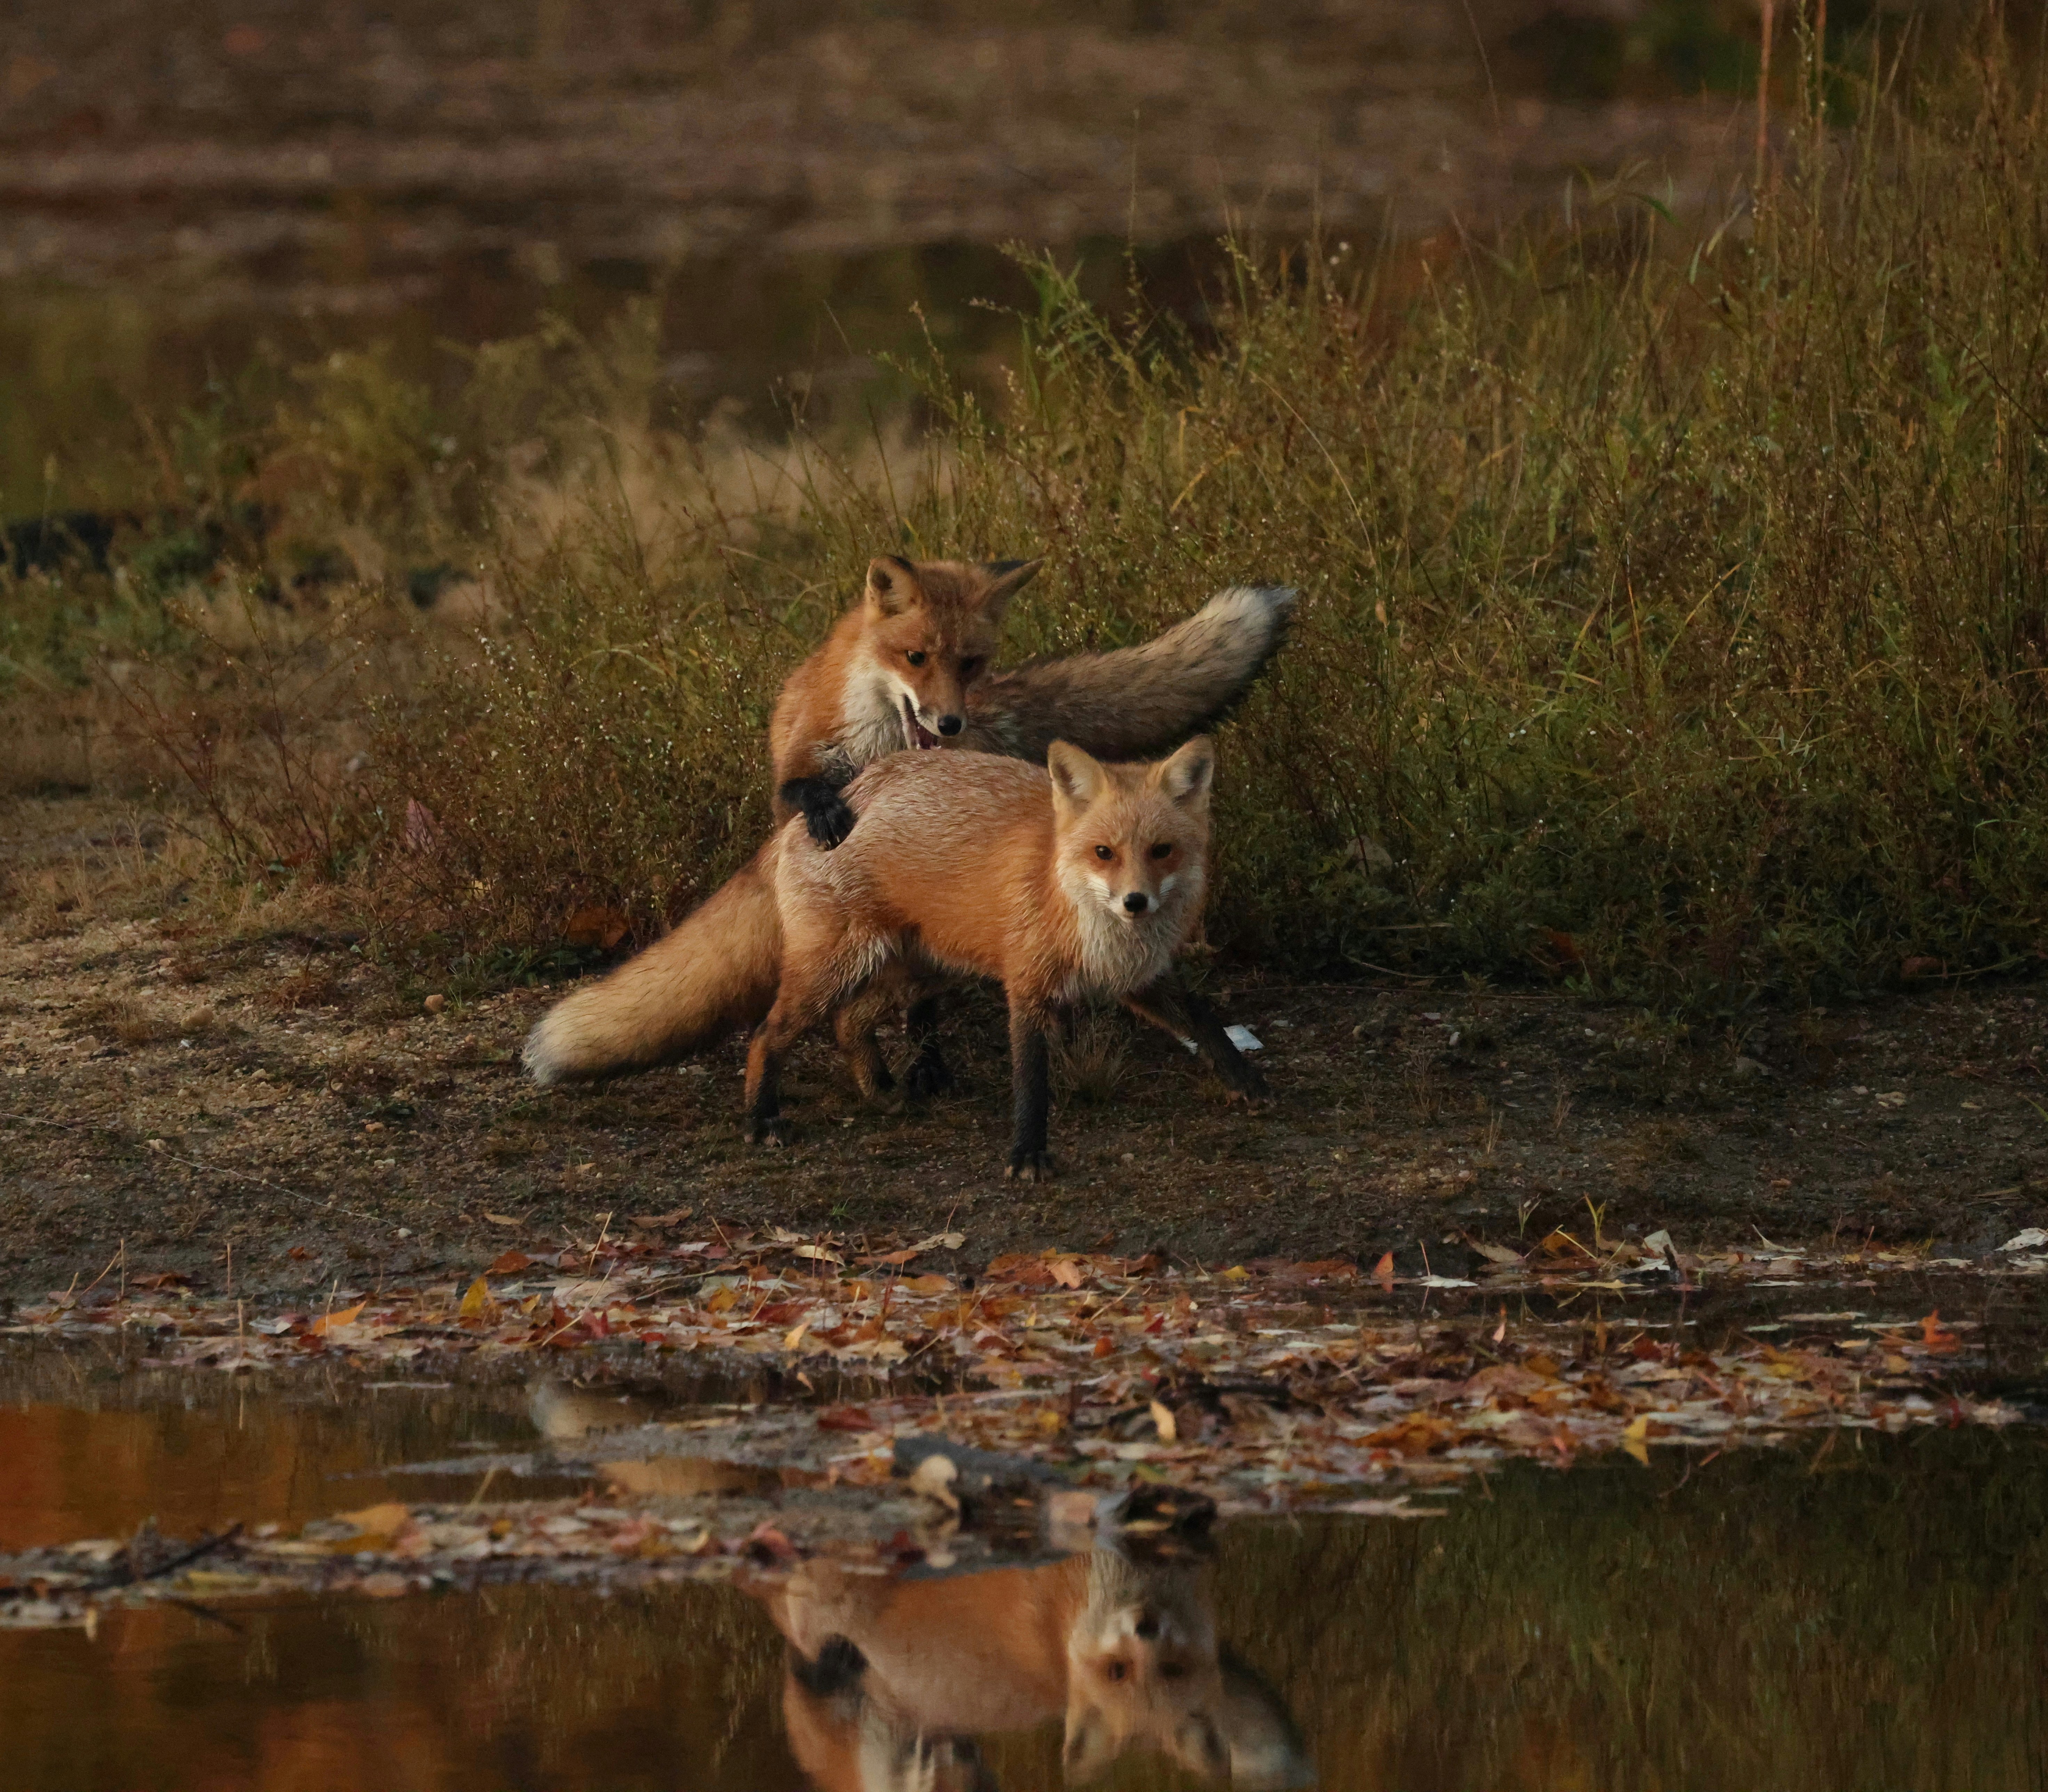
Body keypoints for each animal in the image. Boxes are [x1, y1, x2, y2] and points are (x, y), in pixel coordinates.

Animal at [522, 559, 1294, 1089]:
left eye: (970, 662)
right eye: (915, 658)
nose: (948, 721)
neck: (883, 750)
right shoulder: (802, 764)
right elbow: (804, 789)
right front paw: (826, 808)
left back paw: (932, 1063)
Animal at [743, 736, 1263, 1178]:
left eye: (1162, 851)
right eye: (1104, 853)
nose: (1135, 902)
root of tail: (801, 821)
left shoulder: (1136, 976)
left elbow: (1202, 1018)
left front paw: (1244, 1078)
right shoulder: (1028, 982)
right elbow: (1031, 1077)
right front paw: (1028, 1153)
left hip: (923, 972)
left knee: (848, 1023)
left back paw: (882, 1094)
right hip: (837, 969)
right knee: (768, 1033)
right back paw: (762, 1118)